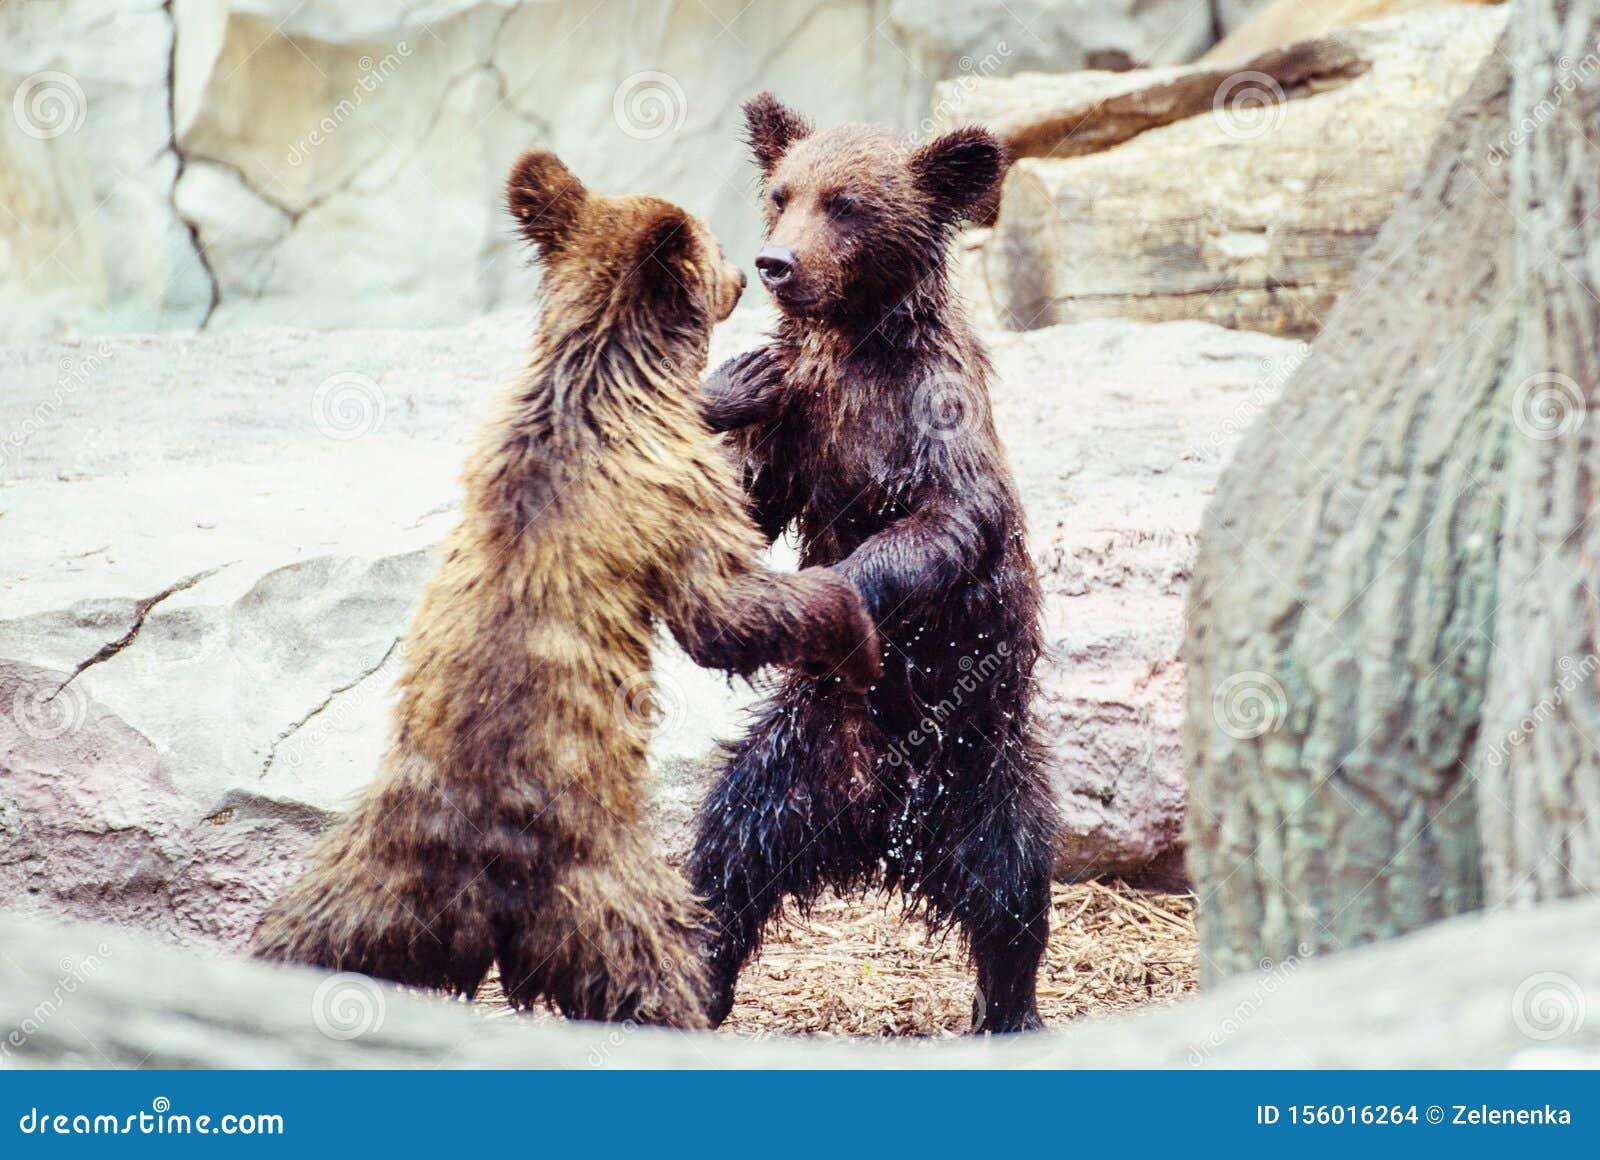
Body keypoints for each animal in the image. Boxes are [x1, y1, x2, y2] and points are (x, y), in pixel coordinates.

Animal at [250, 148, 881, 1030]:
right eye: (721, 245)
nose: (747, 275)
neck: (590, 372)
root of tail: (476, 893)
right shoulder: (666, 497)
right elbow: (721, 608)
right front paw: (848, 620)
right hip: (599, 880)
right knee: (652, 957)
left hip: (364, 878)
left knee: (304, 930)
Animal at [687, 95, 1058, 1033]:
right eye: (781, 193)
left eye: (847, 203)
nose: (775, 263)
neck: (854, 345)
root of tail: (885, 827)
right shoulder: (799, 425)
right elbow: (743, 496)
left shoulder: (928, 415)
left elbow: (944, 522)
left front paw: (839, 596)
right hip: (798, 752)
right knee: (728, 850)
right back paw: (694, 980)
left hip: (983, 763)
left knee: (1013, 885)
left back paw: (1009, 1007)